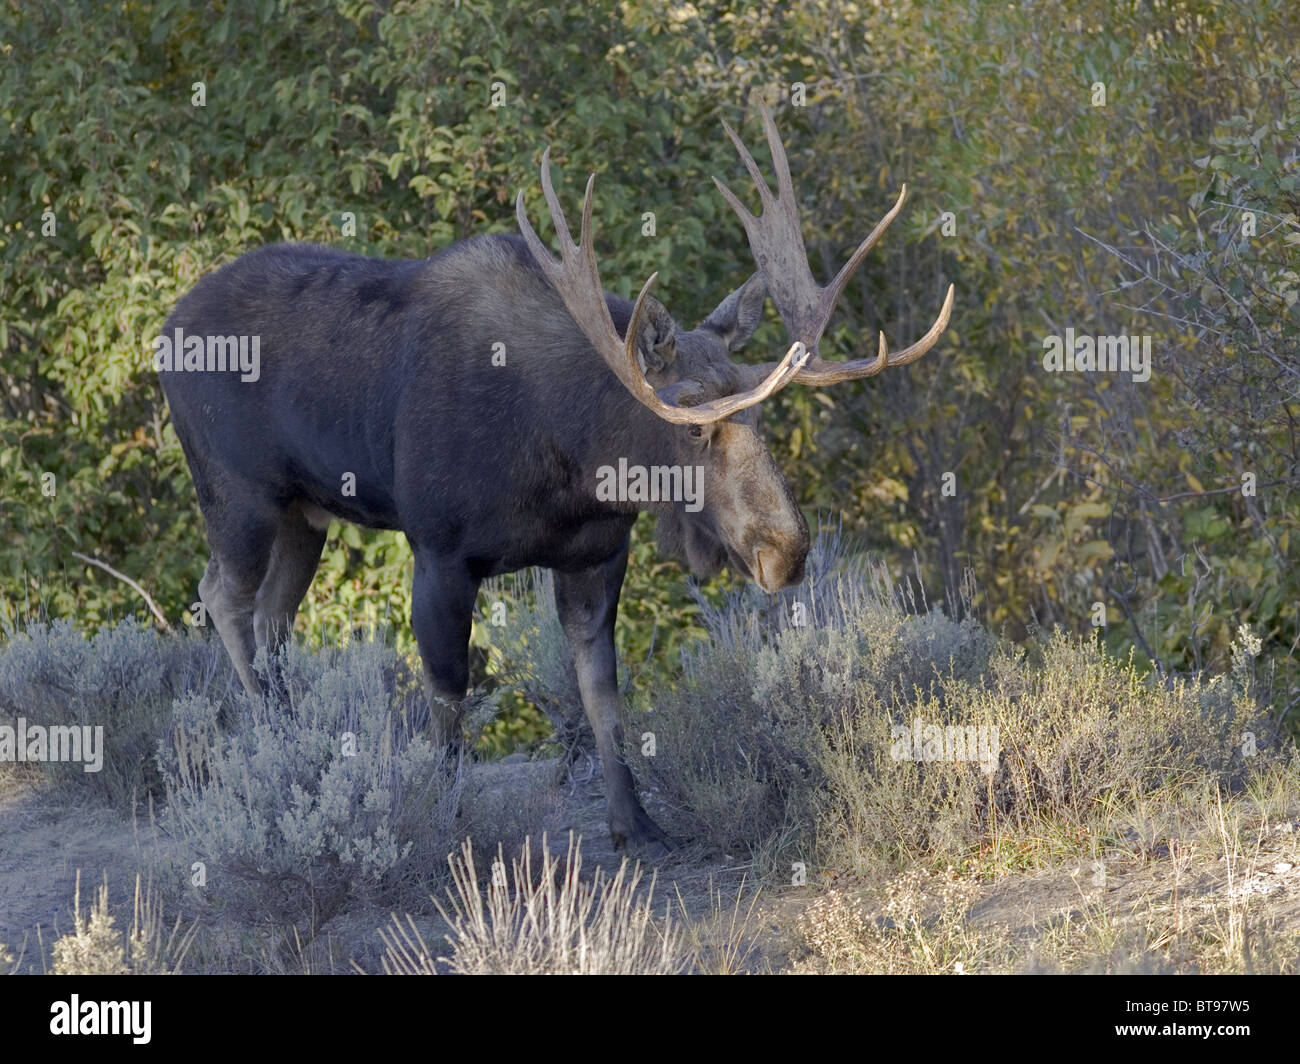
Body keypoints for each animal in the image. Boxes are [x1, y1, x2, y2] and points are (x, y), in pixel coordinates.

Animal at [158, 104, 953, 854]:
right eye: (694, 422)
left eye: (760, 414)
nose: (786, 548)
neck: (569, 463)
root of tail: (163, 334)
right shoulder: (439, 551)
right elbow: (448, 701)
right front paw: (443, 822)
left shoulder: (595, 555)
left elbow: (603, 697)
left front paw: (637, 824)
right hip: (238, 495)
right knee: (222, 596)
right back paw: (272, 740)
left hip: (304, 513)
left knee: (272, 616)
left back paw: (299, 741)